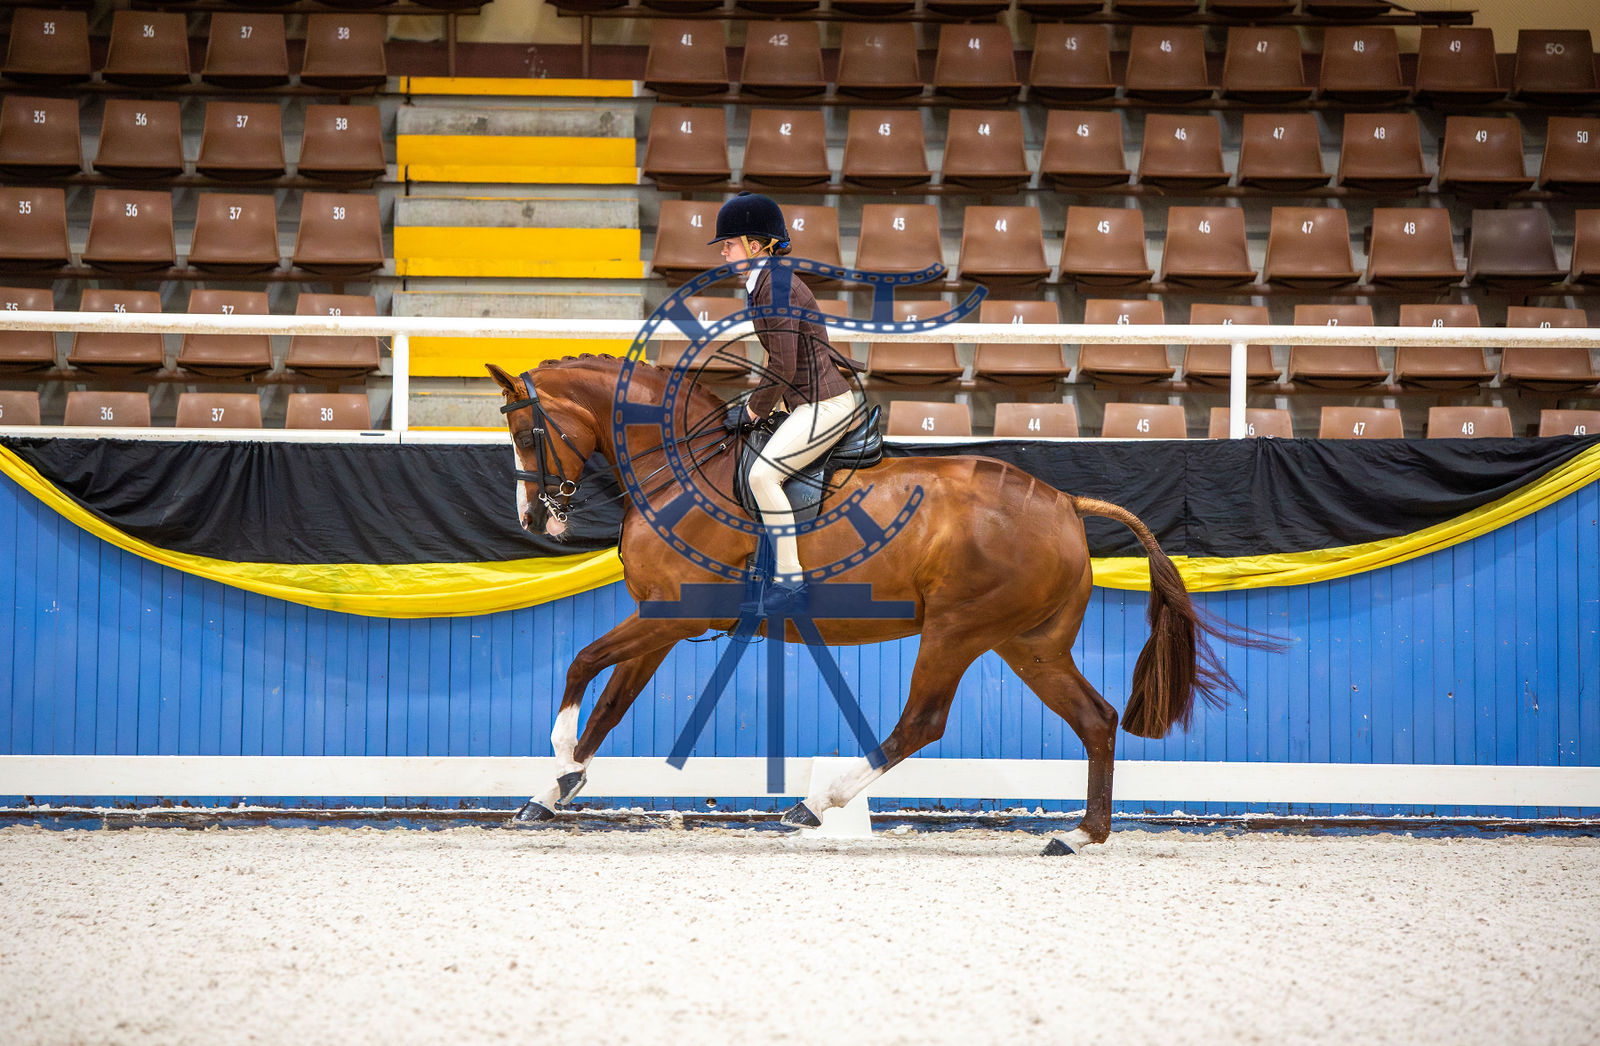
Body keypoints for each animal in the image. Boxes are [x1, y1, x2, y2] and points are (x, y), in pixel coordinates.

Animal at [487, 354, 1266, 854]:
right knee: (1096, 719)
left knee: (921, 721)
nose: (533, 519)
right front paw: (554, 790)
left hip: (958, 630)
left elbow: (580, 666)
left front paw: (559, 764)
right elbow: (609, 703)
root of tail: (1066, 502)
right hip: (1028, 643)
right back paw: (1079, 835)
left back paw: (815, 805)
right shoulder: (662, 623)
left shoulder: (670, 615)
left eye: (527, 434)